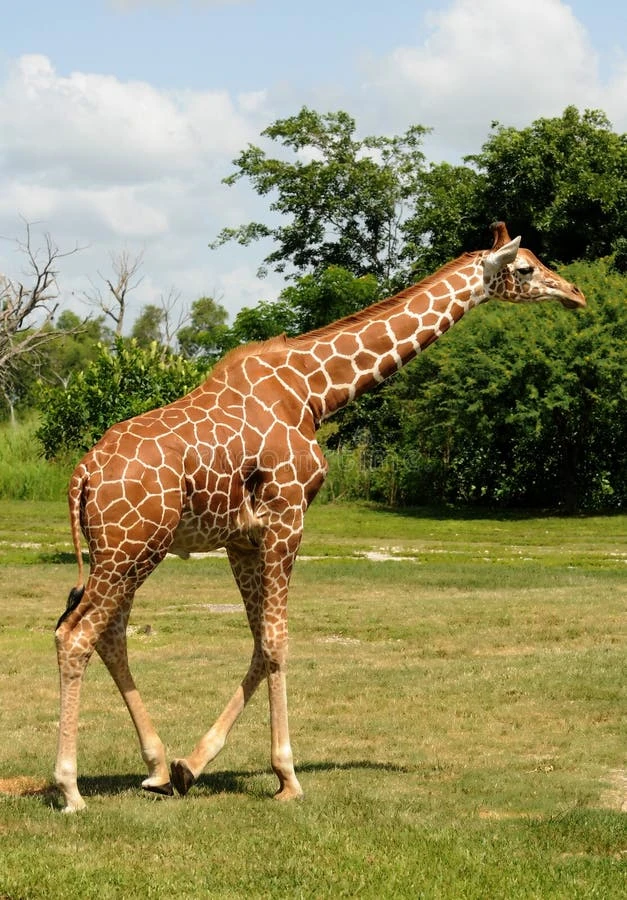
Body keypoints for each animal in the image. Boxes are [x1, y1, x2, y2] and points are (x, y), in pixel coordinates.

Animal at [53, 222, 585, 811]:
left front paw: (192, 765)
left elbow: (261, 641)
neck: (313, 390)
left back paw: (155, 768)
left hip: (126, 549)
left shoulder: (243, 536)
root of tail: (82, 475)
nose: (576, 293)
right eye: (526, 269)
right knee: (75, 635)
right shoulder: (288, 515)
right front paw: (287, 777)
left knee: (108, 634)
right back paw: (70, 787)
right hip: (133, 546)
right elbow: (278, 640)